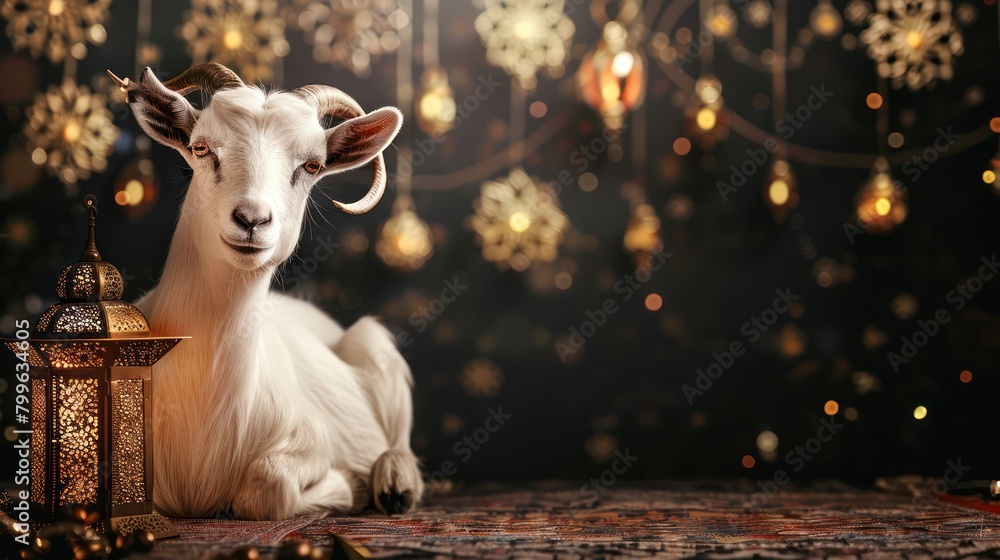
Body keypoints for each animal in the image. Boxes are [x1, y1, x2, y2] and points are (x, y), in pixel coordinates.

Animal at [108, 63, 423, 520]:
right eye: (201, 148)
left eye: (312, 165)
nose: (252, 219)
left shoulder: (308, 437)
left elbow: (268, 487)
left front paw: (350, 484)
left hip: (375, 346)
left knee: (400, 444)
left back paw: (395, 483)